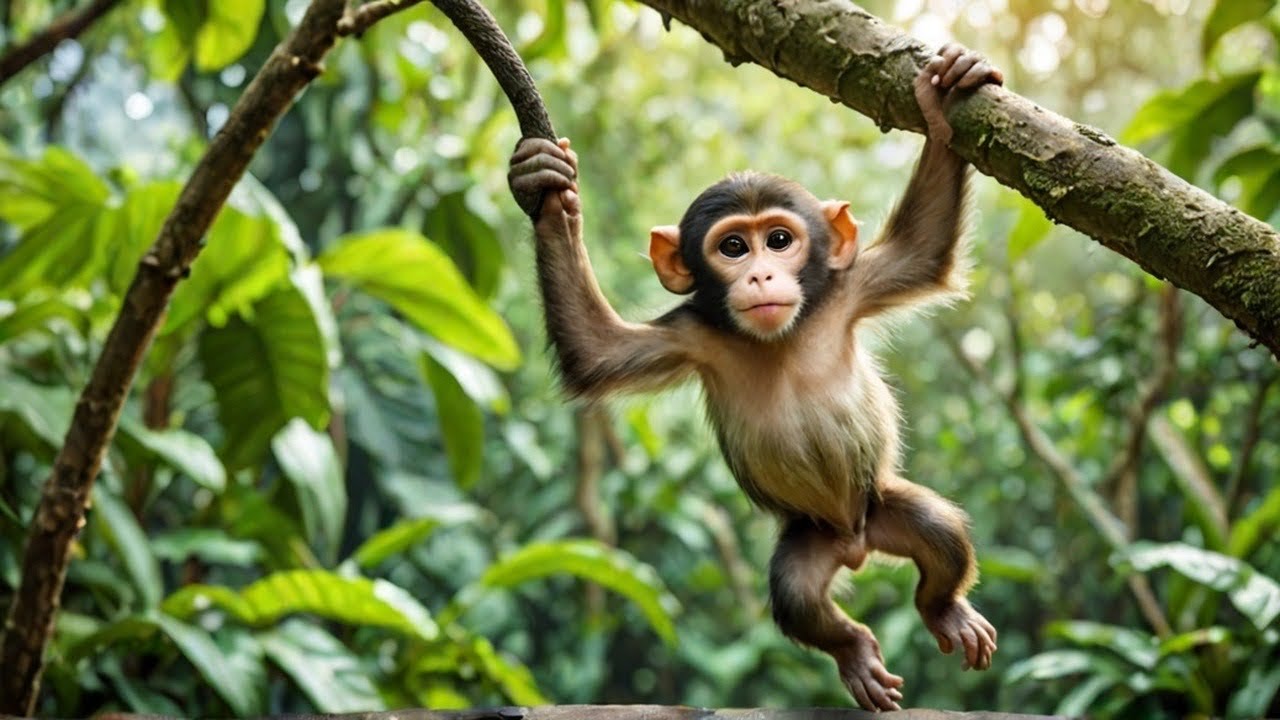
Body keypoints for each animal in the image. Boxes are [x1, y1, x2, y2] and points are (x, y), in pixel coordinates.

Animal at [508, 44, 1002, 712]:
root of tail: (855, 544)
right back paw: (854, 651)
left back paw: (944, 609)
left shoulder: (848, 290)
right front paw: (543, 187)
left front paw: (942, 100)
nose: (762, 274)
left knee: (938, 534)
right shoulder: (692, 334)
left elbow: (922, 249)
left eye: (780, 239)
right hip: (806, 542)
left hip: (881, 507)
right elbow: (595, 348)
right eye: (734, 248)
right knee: (798, 599)